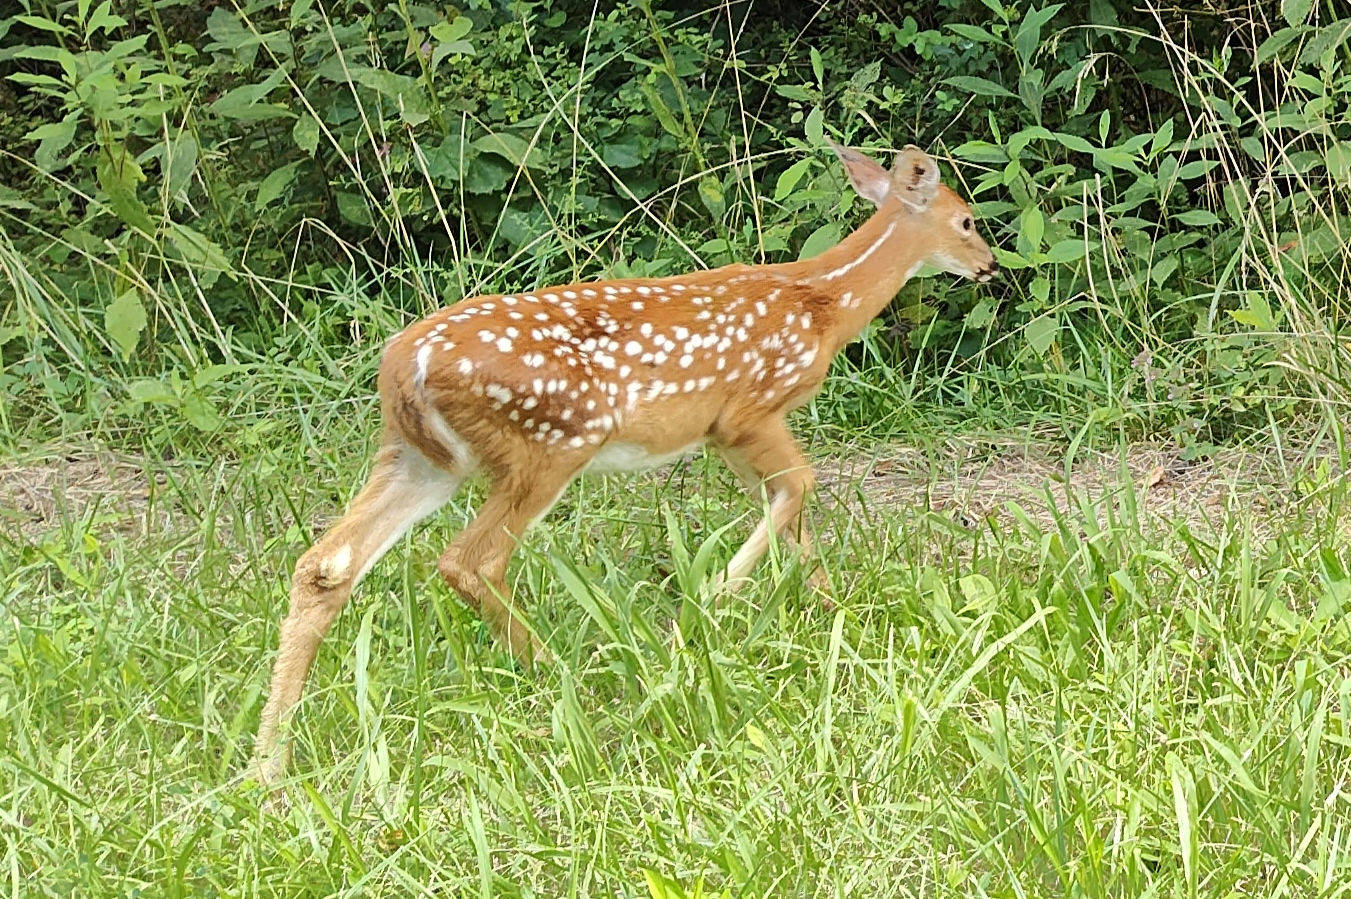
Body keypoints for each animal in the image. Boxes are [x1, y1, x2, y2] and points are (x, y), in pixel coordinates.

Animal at [250, 139, 998, 784]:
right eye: (966, 219)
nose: (991, 264)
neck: (821, 304)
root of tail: (405, 367)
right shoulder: (749, 408)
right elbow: (799, 488)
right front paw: (704, 608)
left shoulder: (728, 431)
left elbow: (789, 505)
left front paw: (828, 612)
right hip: (549, 442)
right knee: (471, 558)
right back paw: (567, 676)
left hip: (422, 458)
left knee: (326, 564)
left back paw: (267, 762)